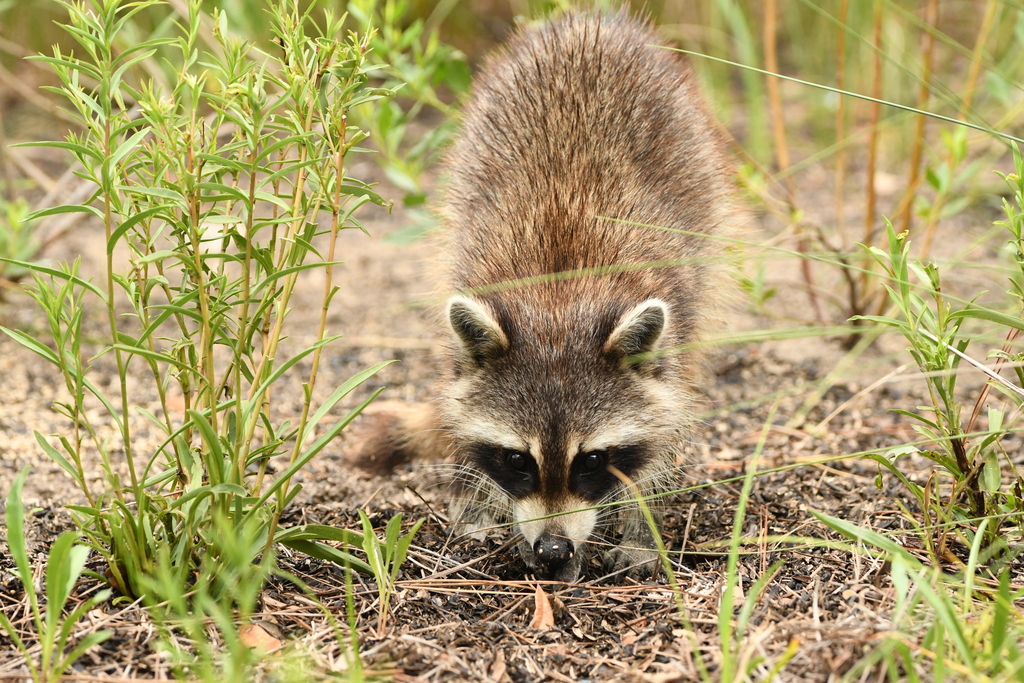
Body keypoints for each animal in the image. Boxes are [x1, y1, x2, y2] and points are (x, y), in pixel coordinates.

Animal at [355, 10, 731, 582]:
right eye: (518, 461)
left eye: (591, 461)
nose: (553, 548)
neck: (558, 298)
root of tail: (589, 20)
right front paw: (479, 496)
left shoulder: (676, 323)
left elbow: (665, 423)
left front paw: (641, 522)